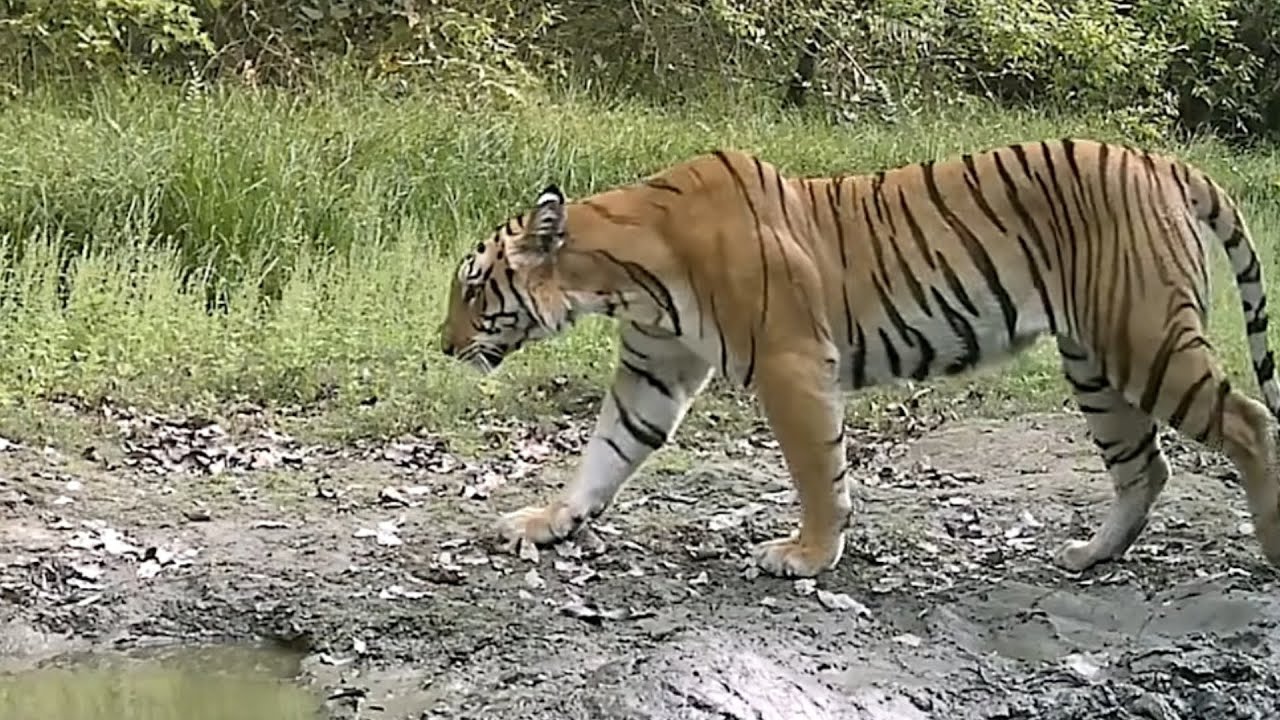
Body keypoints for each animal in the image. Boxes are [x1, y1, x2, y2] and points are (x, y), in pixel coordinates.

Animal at [438, 138, 1280, 579]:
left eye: (474, 286)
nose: (442, 345)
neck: (621, 279)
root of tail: (1160, 161)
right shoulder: (654, 370)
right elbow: (604, 455)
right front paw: (548, 522)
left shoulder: (791, 362)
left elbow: (817, 469)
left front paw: (807, 555)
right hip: (1097, 363)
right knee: (1146, 466)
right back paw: (1090, 555)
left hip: (1146, 339)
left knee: (1249, 421)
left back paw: (1270, 549)